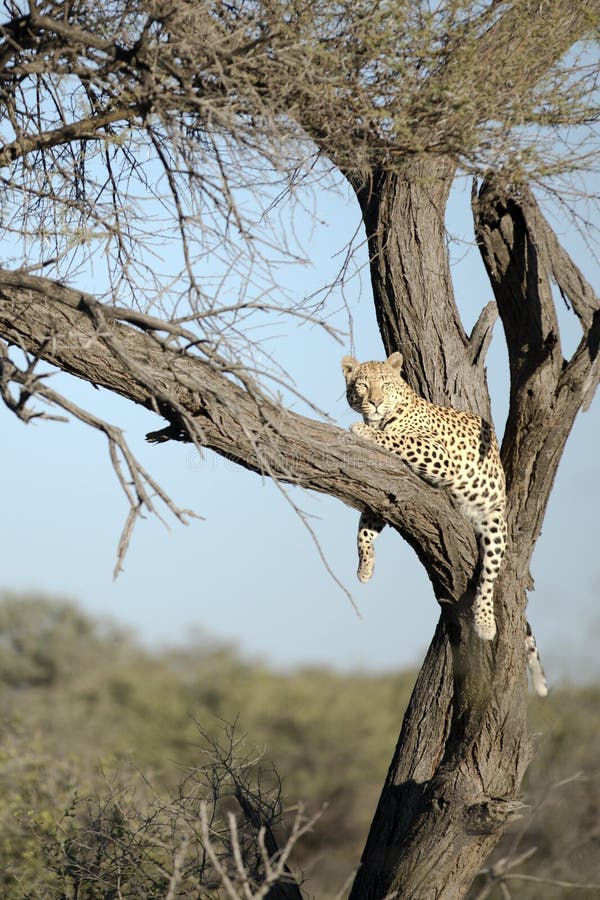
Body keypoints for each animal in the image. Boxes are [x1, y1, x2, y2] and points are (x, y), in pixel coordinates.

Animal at [342, 351, 548, 695]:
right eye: (363, 384)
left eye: (384, 384)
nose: (375, 403)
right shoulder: (386, 489)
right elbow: (365, 526)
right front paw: (365, 567)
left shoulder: (438, 454)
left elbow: (397, 439)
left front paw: (363, 430)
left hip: (495, 524)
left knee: (488, 577)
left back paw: (485, 622)